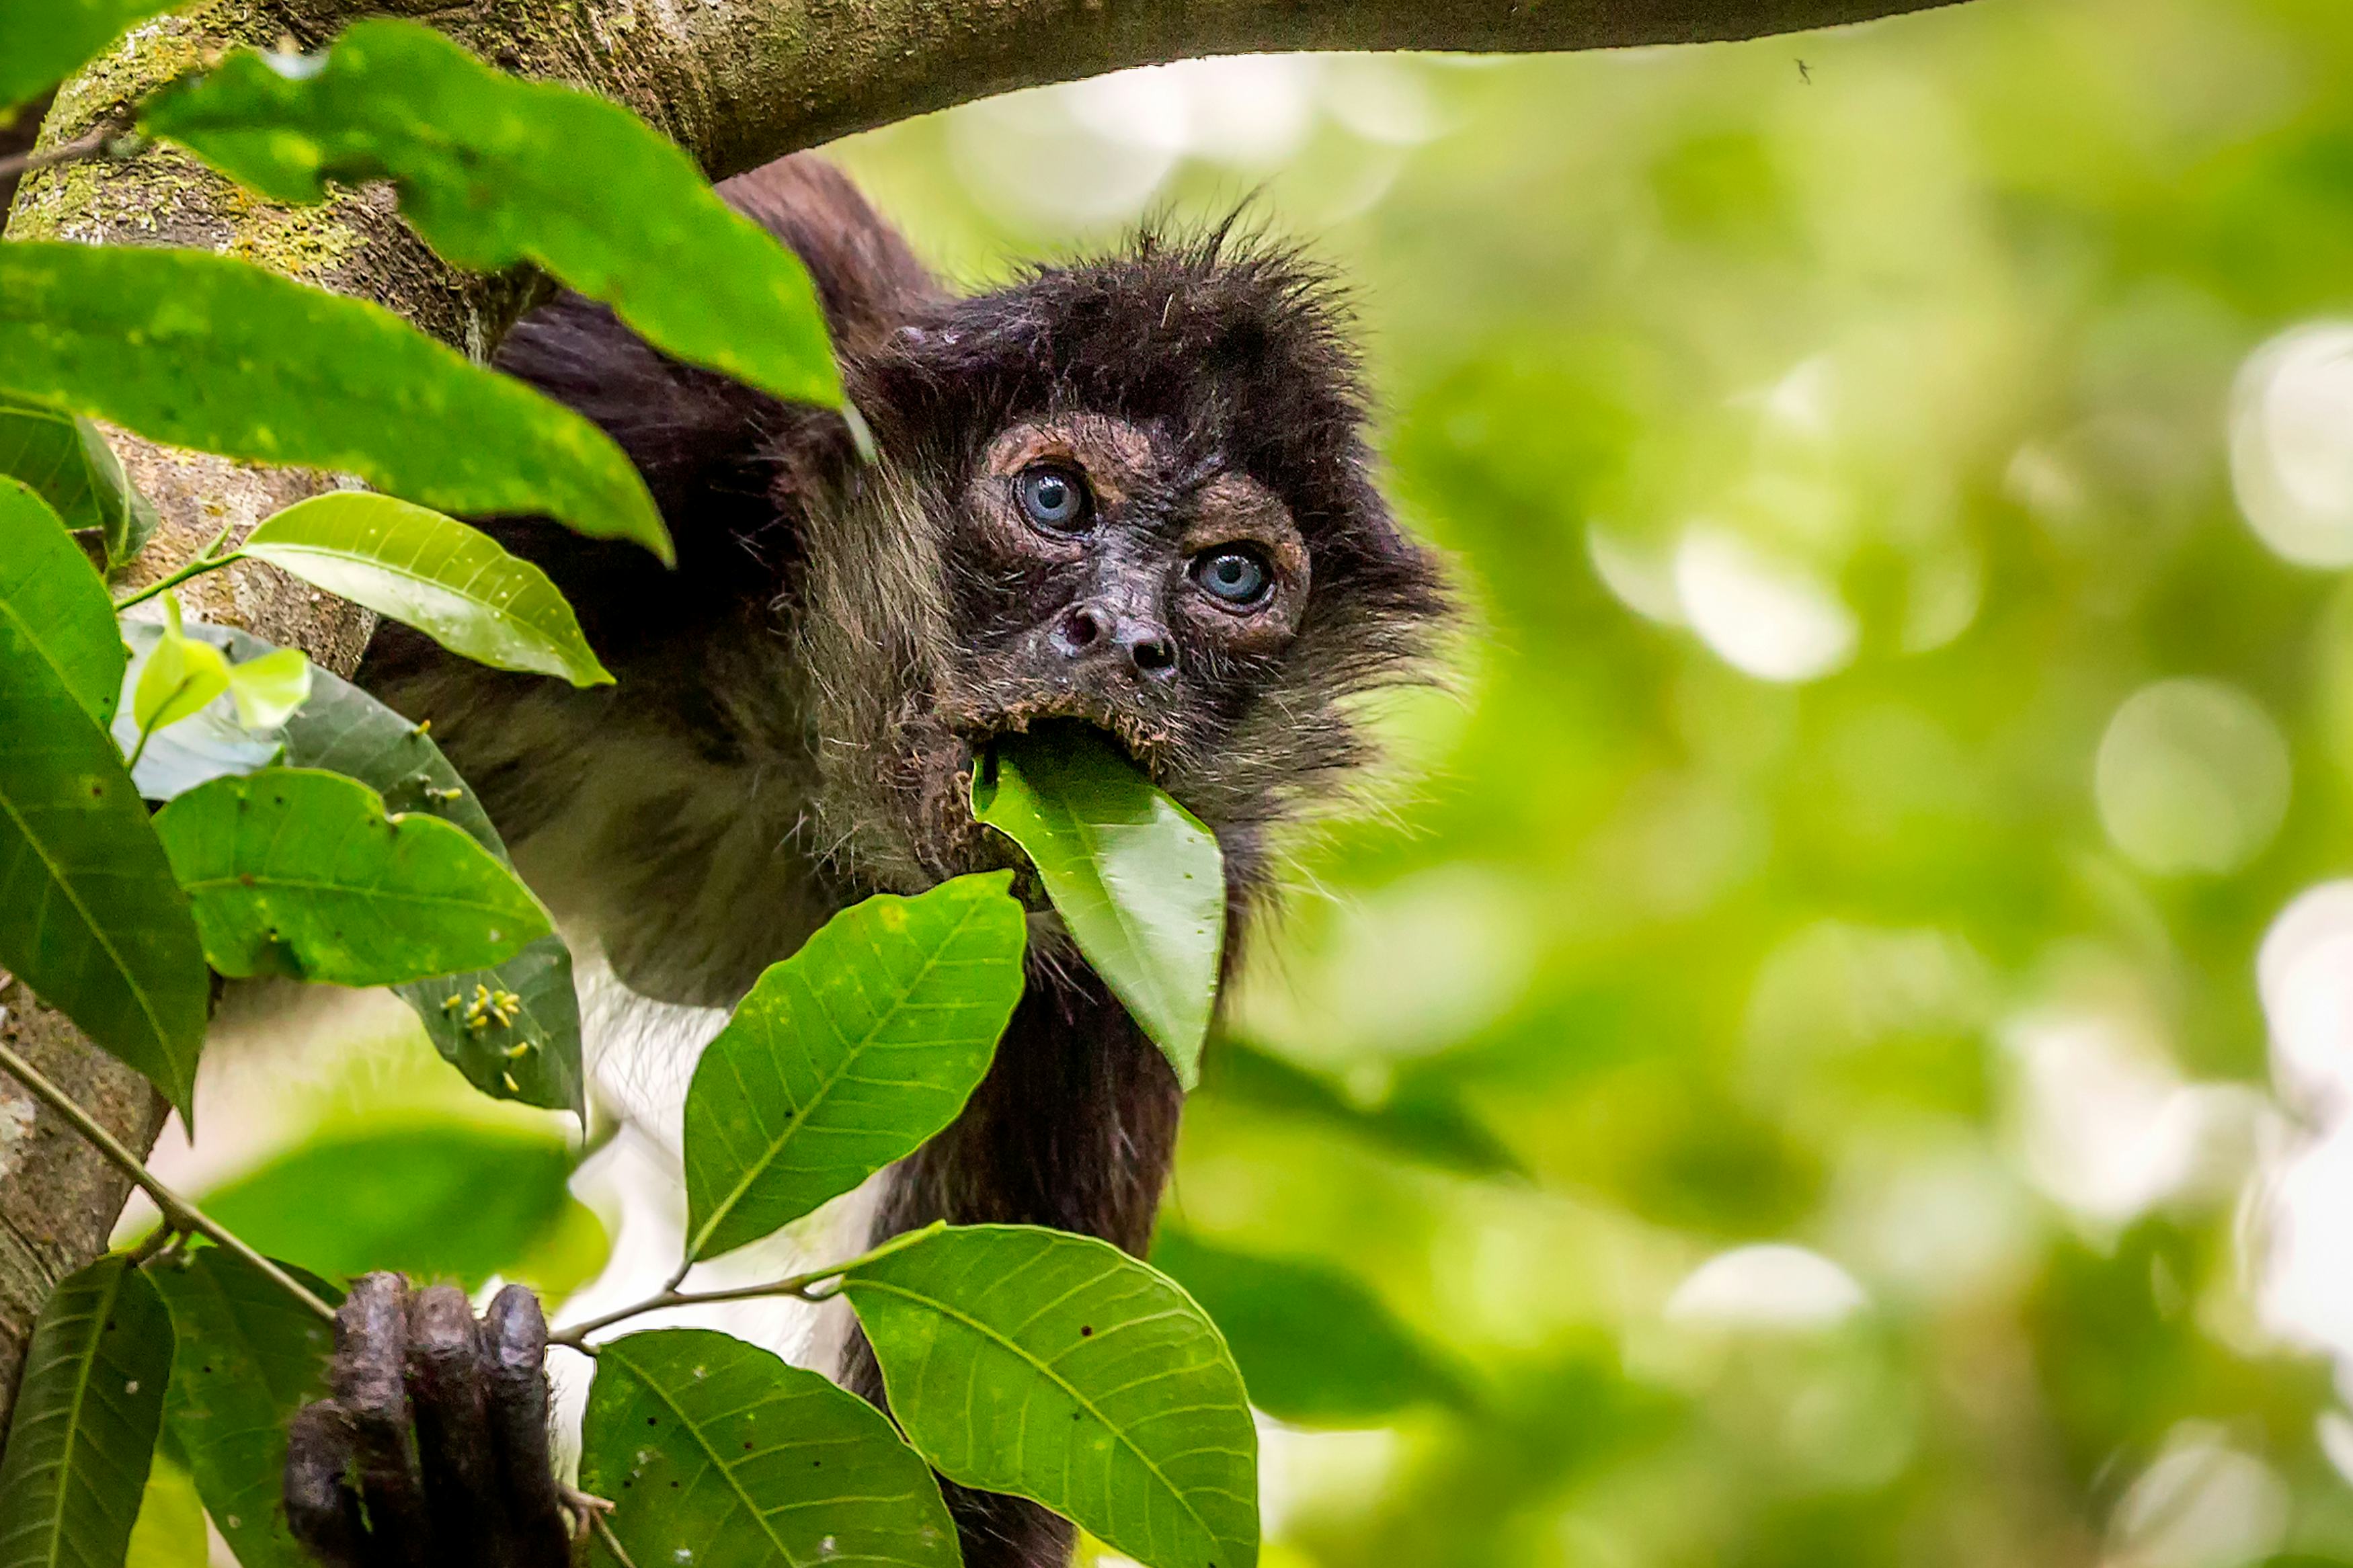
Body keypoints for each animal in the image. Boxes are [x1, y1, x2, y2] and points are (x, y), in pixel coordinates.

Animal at [278, 153, 1448, 1568]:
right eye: (1056, 500)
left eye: (1229, 575)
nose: (1125, 637)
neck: (787, 728)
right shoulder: (639, 423)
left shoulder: (1145, 940)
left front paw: (457, 1511)